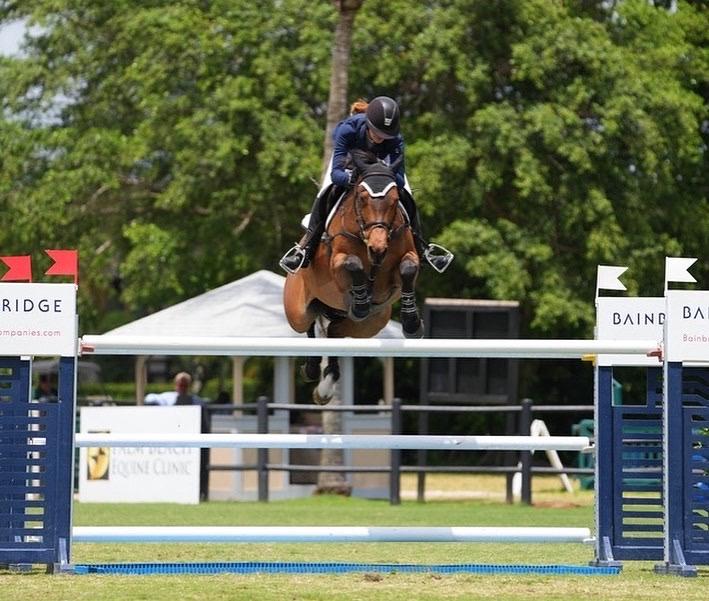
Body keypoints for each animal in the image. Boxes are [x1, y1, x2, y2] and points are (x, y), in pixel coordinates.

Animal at [283, 150, 424, 404]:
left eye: (395, 199)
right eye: (362, 197)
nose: (378, 247)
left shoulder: (407, 257)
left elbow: (408, 268)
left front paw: (412, 324)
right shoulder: (337, 263)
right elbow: (353, 263)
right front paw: (360, 303)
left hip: (369, 325)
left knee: (334, 332)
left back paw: (326, 385)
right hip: (296, 311)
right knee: (309, 322)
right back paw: (313, 369)